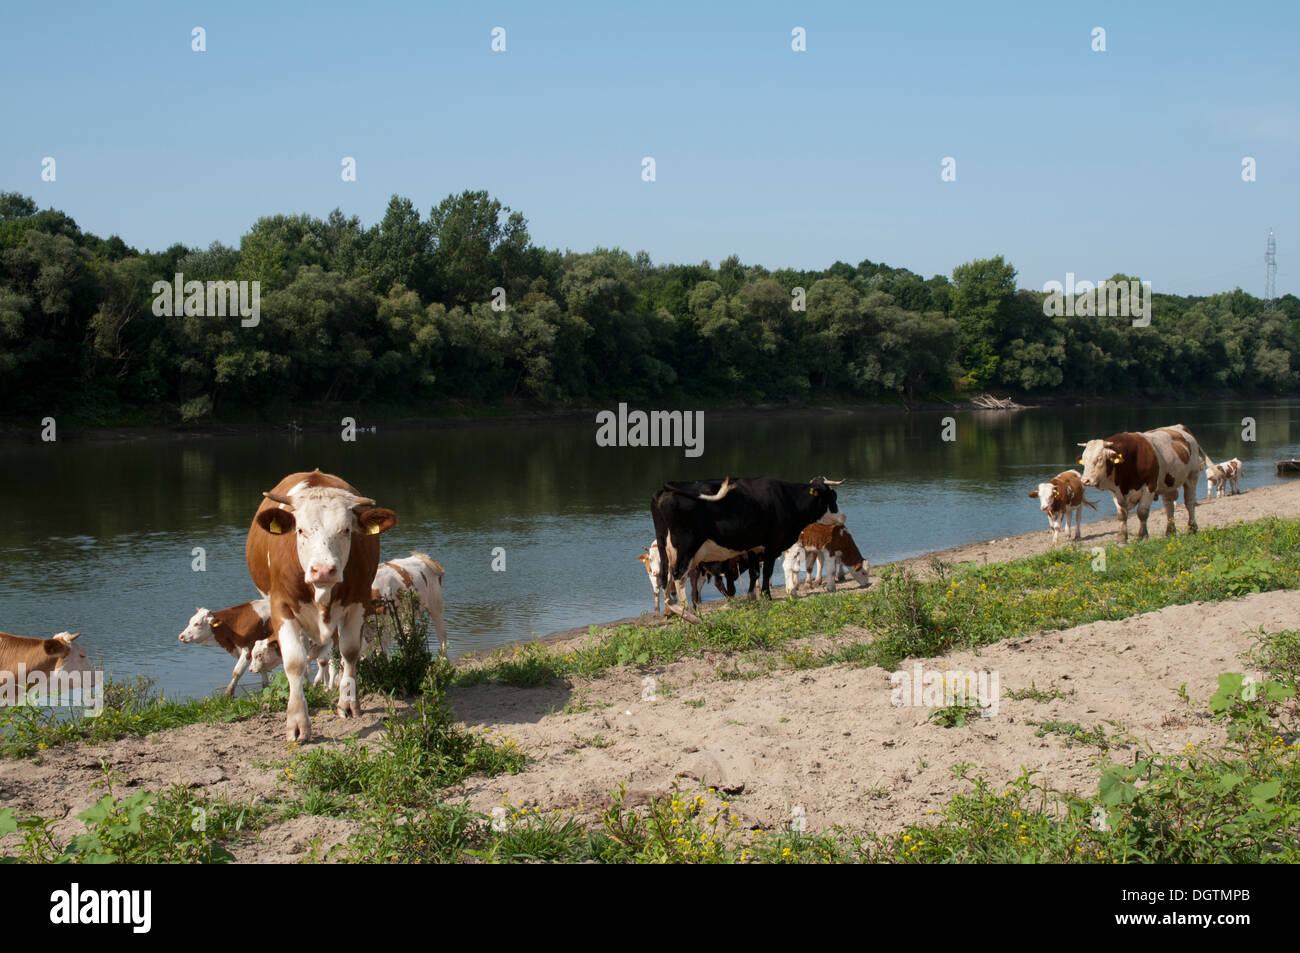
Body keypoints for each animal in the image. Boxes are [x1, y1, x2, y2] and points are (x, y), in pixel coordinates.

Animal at [245, 469, 397, 743]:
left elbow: (349, 651)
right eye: (300, 530)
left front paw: (347, 702)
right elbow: (294, 662)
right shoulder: (280, 607)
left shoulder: (358, 601)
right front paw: (297, 722)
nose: (324, 570)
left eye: (346, 530)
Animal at [650, 476, 843, 609]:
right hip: (685, 548)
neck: (787, 499)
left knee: (666, 577)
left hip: (665, 547)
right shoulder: (772, 545)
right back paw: (687, 612)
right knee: (678, 577)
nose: (842, 517)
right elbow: (767, 572)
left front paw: (752, 597)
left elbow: (754, 572)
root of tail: (666, 490)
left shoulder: (753, 547)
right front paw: (766, 596)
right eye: (832, 496)